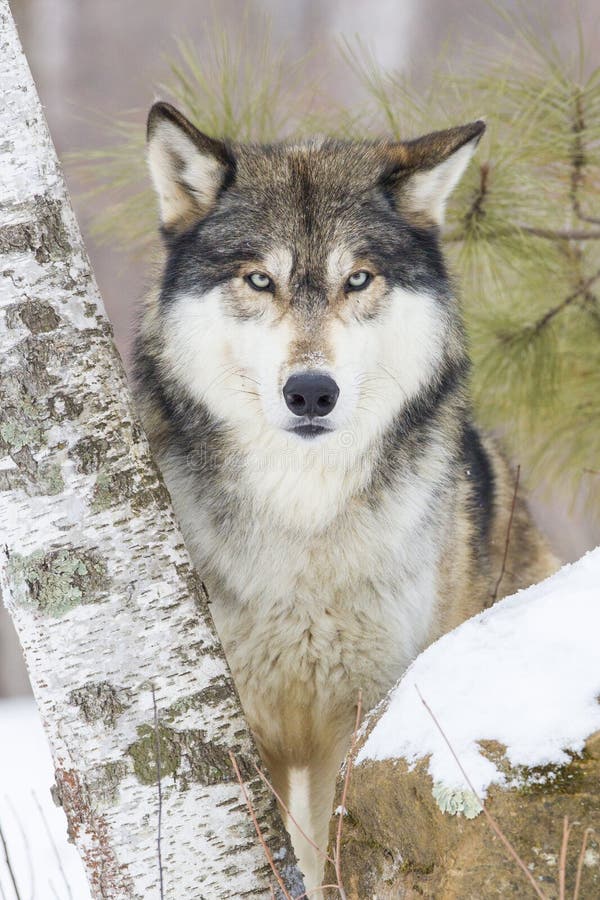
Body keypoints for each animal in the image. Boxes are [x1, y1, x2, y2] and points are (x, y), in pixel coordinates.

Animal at [135, 101, 558, 890]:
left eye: (357, 279)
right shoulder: (251, 730)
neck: (303, 517)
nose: (311, 392)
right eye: (259, 280)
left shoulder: (360, 722)